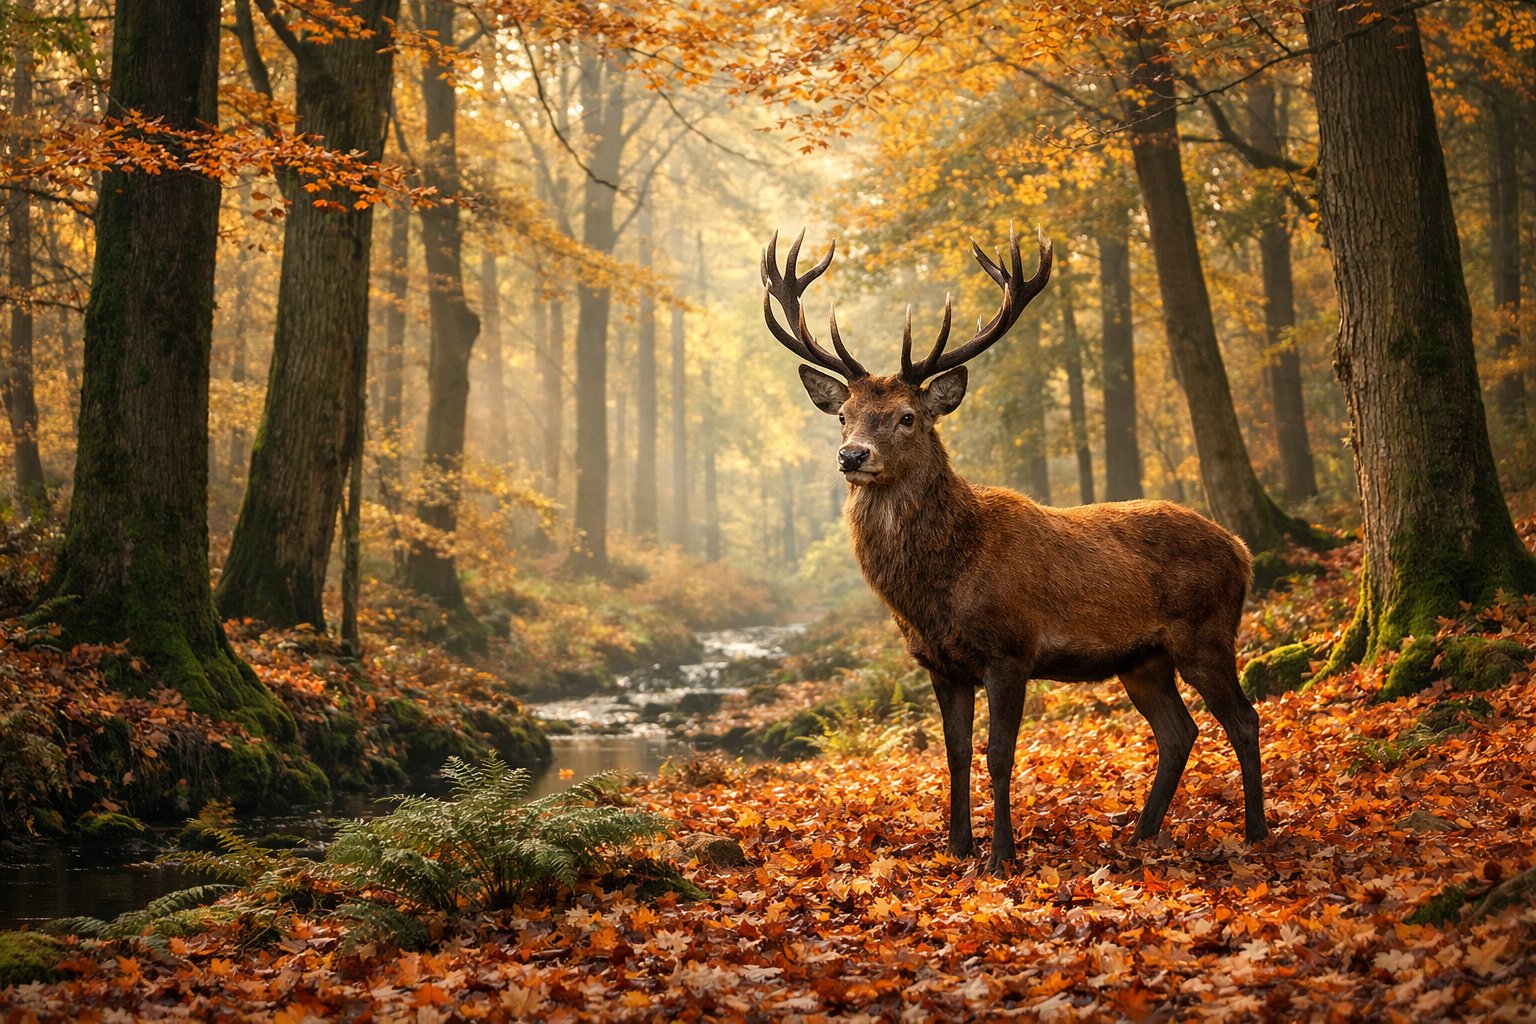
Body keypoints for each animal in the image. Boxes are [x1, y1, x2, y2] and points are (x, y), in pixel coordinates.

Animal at [761, 226, 1267, 873]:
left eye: (907, 417)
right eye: (844, 416)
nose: (852, 456)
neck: (937, 588)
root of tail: (1242, 550)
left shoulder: (1010, 649)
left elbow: (999, 752)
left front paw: (1002, 853)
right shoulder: (940, 664)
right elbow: (953, 753)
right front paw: (957, 847)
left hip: (1205, 631)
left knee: (1244, 719)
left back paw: (1256, 832)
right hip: (1143, 659)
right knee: (1179, 731)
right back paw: (1140, 834)